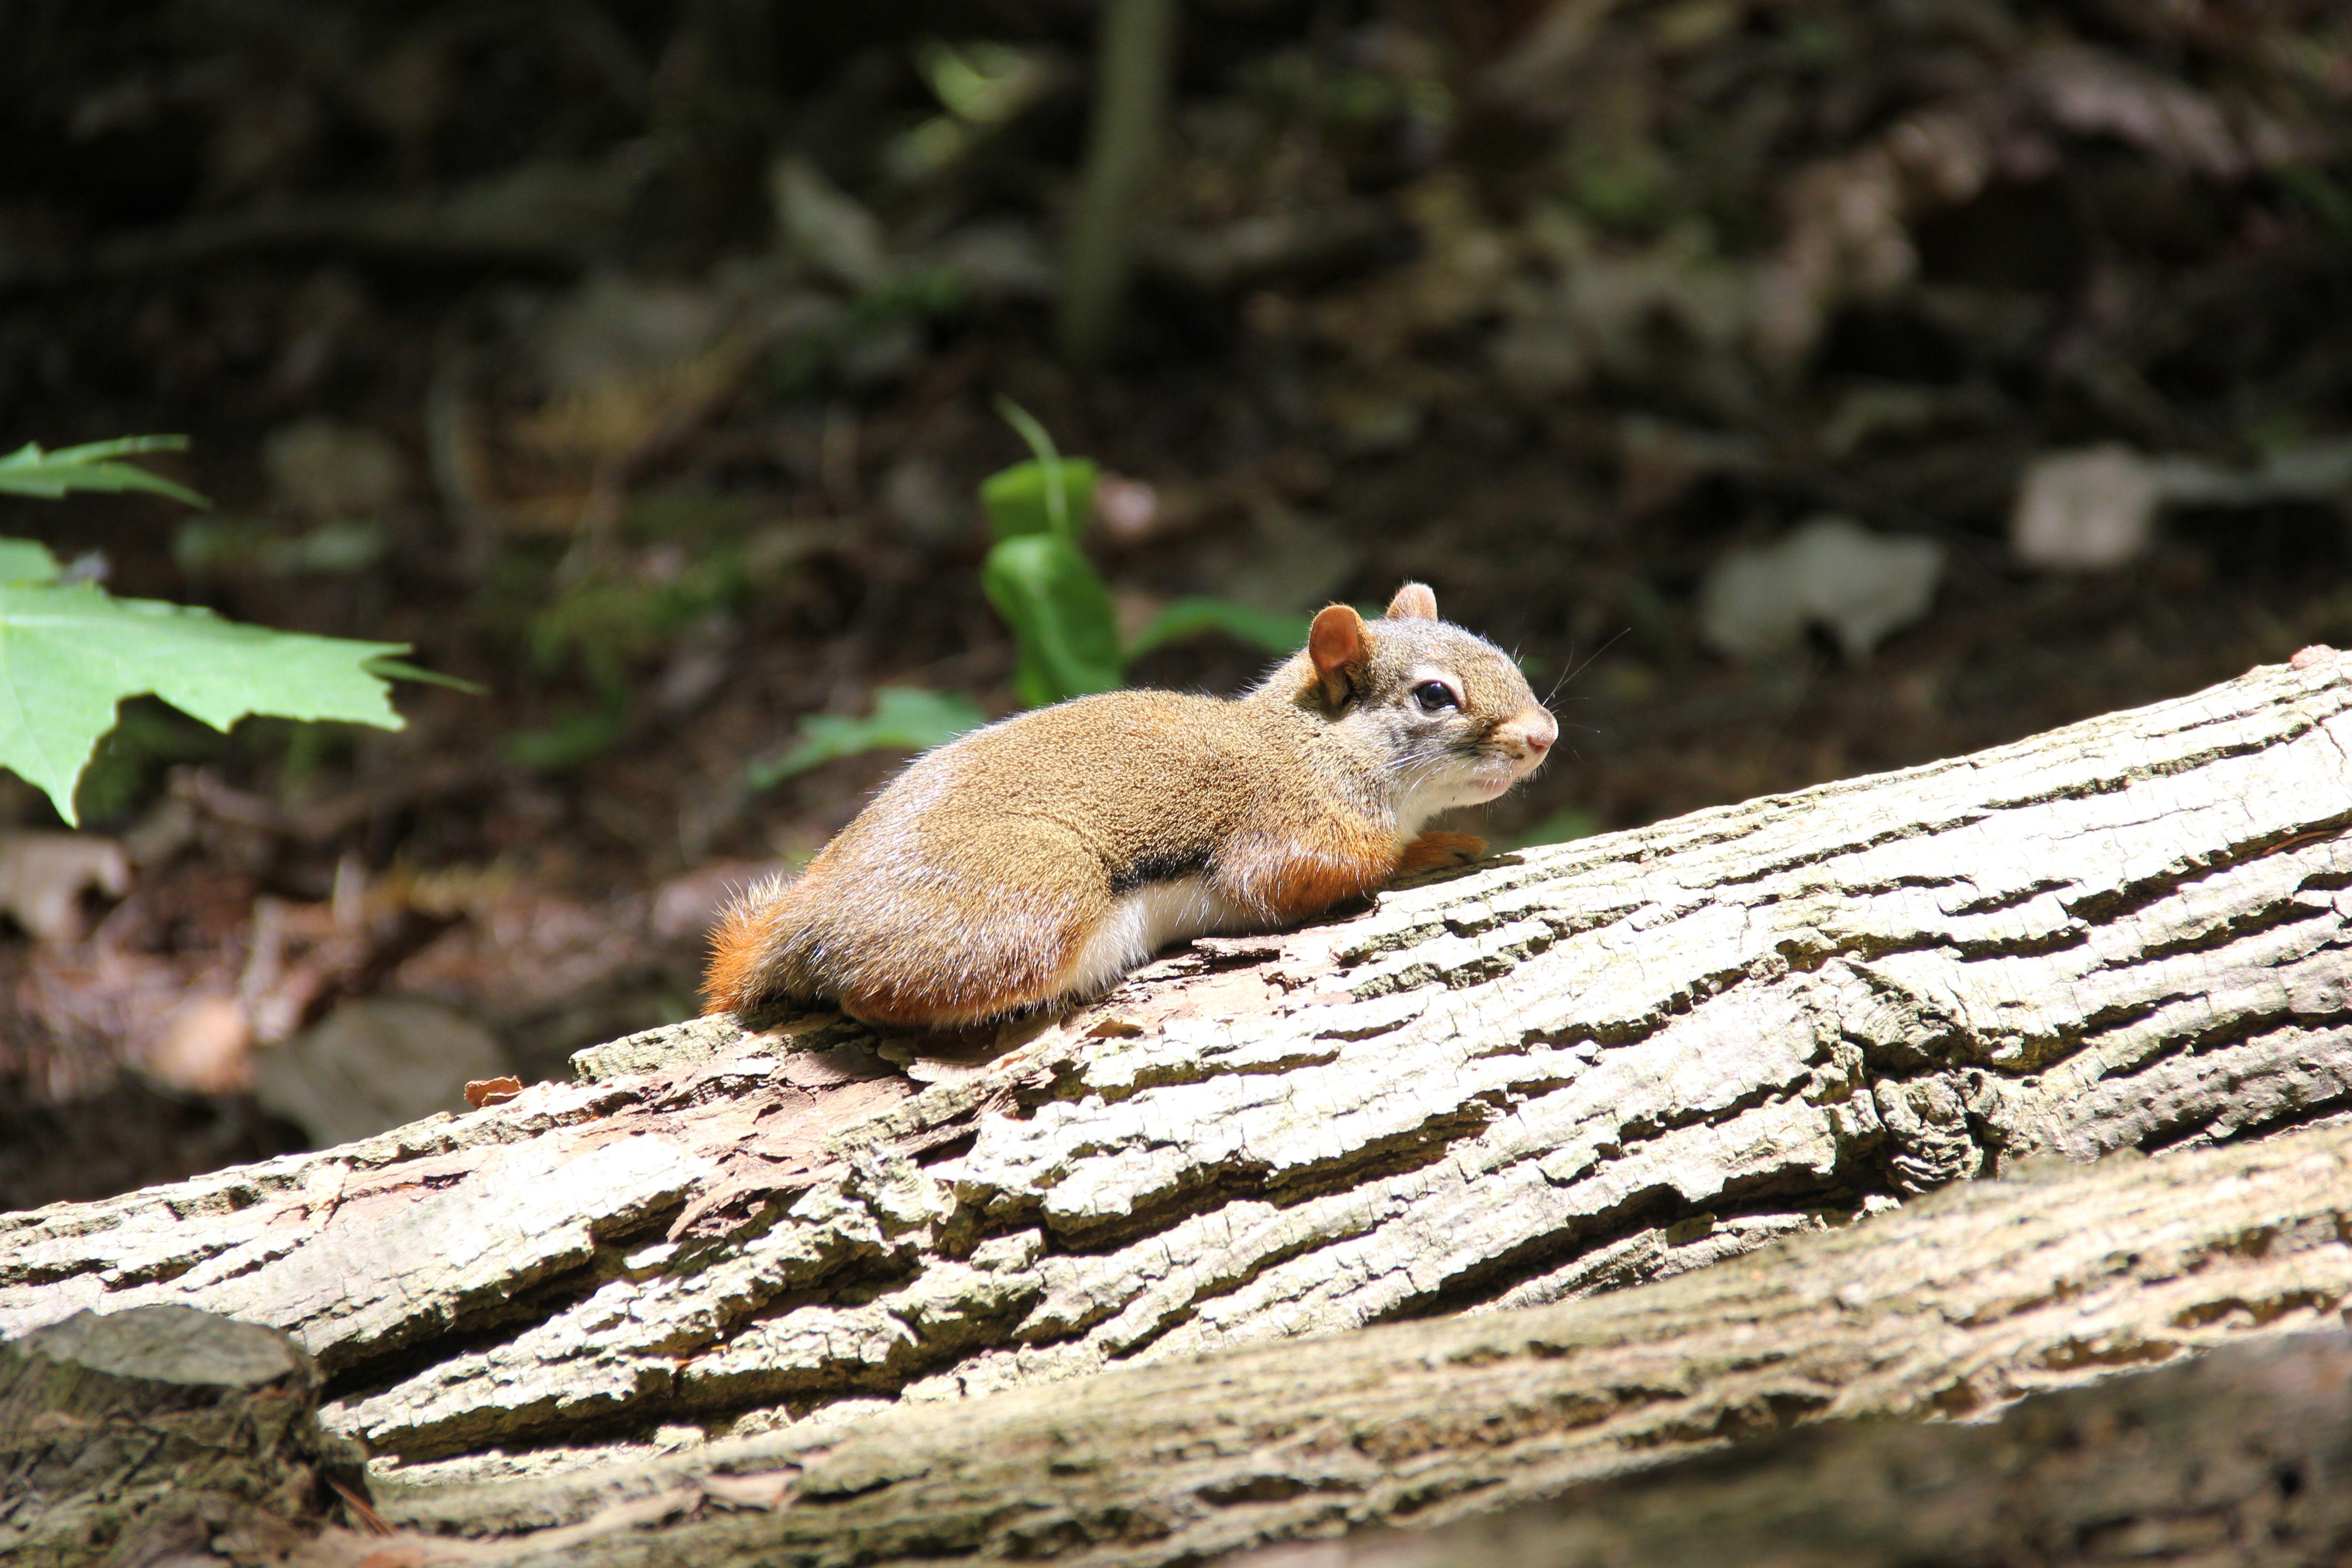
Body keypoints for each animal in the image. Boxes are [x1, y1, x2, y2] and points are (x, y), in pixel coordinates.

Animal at [705, 582, 1557, 1029]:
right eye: (1434, 696)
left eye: (1501, 653)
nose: (1543, 735)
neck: (1313, 747)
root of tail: (801, 917)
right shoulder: (1281, 830)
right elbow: (1305, 877)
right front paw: (1431, 850)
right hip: (1039, 886)